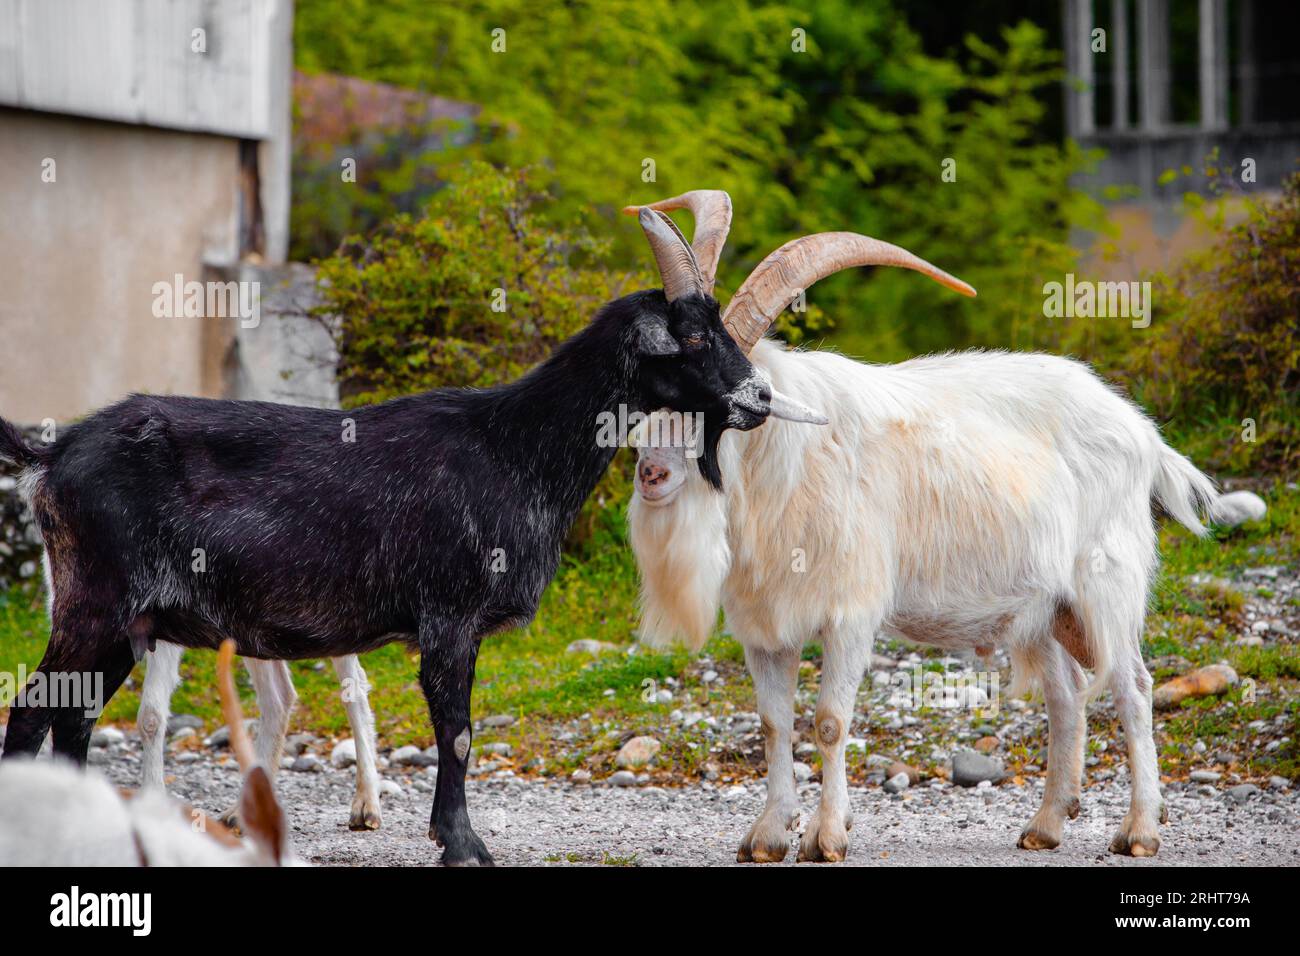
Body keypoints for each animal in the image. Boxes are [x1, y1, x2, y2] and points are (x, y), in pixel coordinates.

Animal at [626, 202, 1267, 862]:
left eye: (720, 407)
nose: (651, 474)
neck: (787, 460)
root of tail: (1141, 431)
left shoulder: (851, 612)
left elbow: (829, 720)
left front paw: (826, 838)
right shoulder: (764, 627)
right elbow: (775, 723)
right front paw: (768, 835)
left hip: (1107, 581)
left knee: (1133, 685)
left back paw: (1139, 831)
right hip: (1044, 608)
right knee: (1066, 693)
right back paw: (1045, 825)